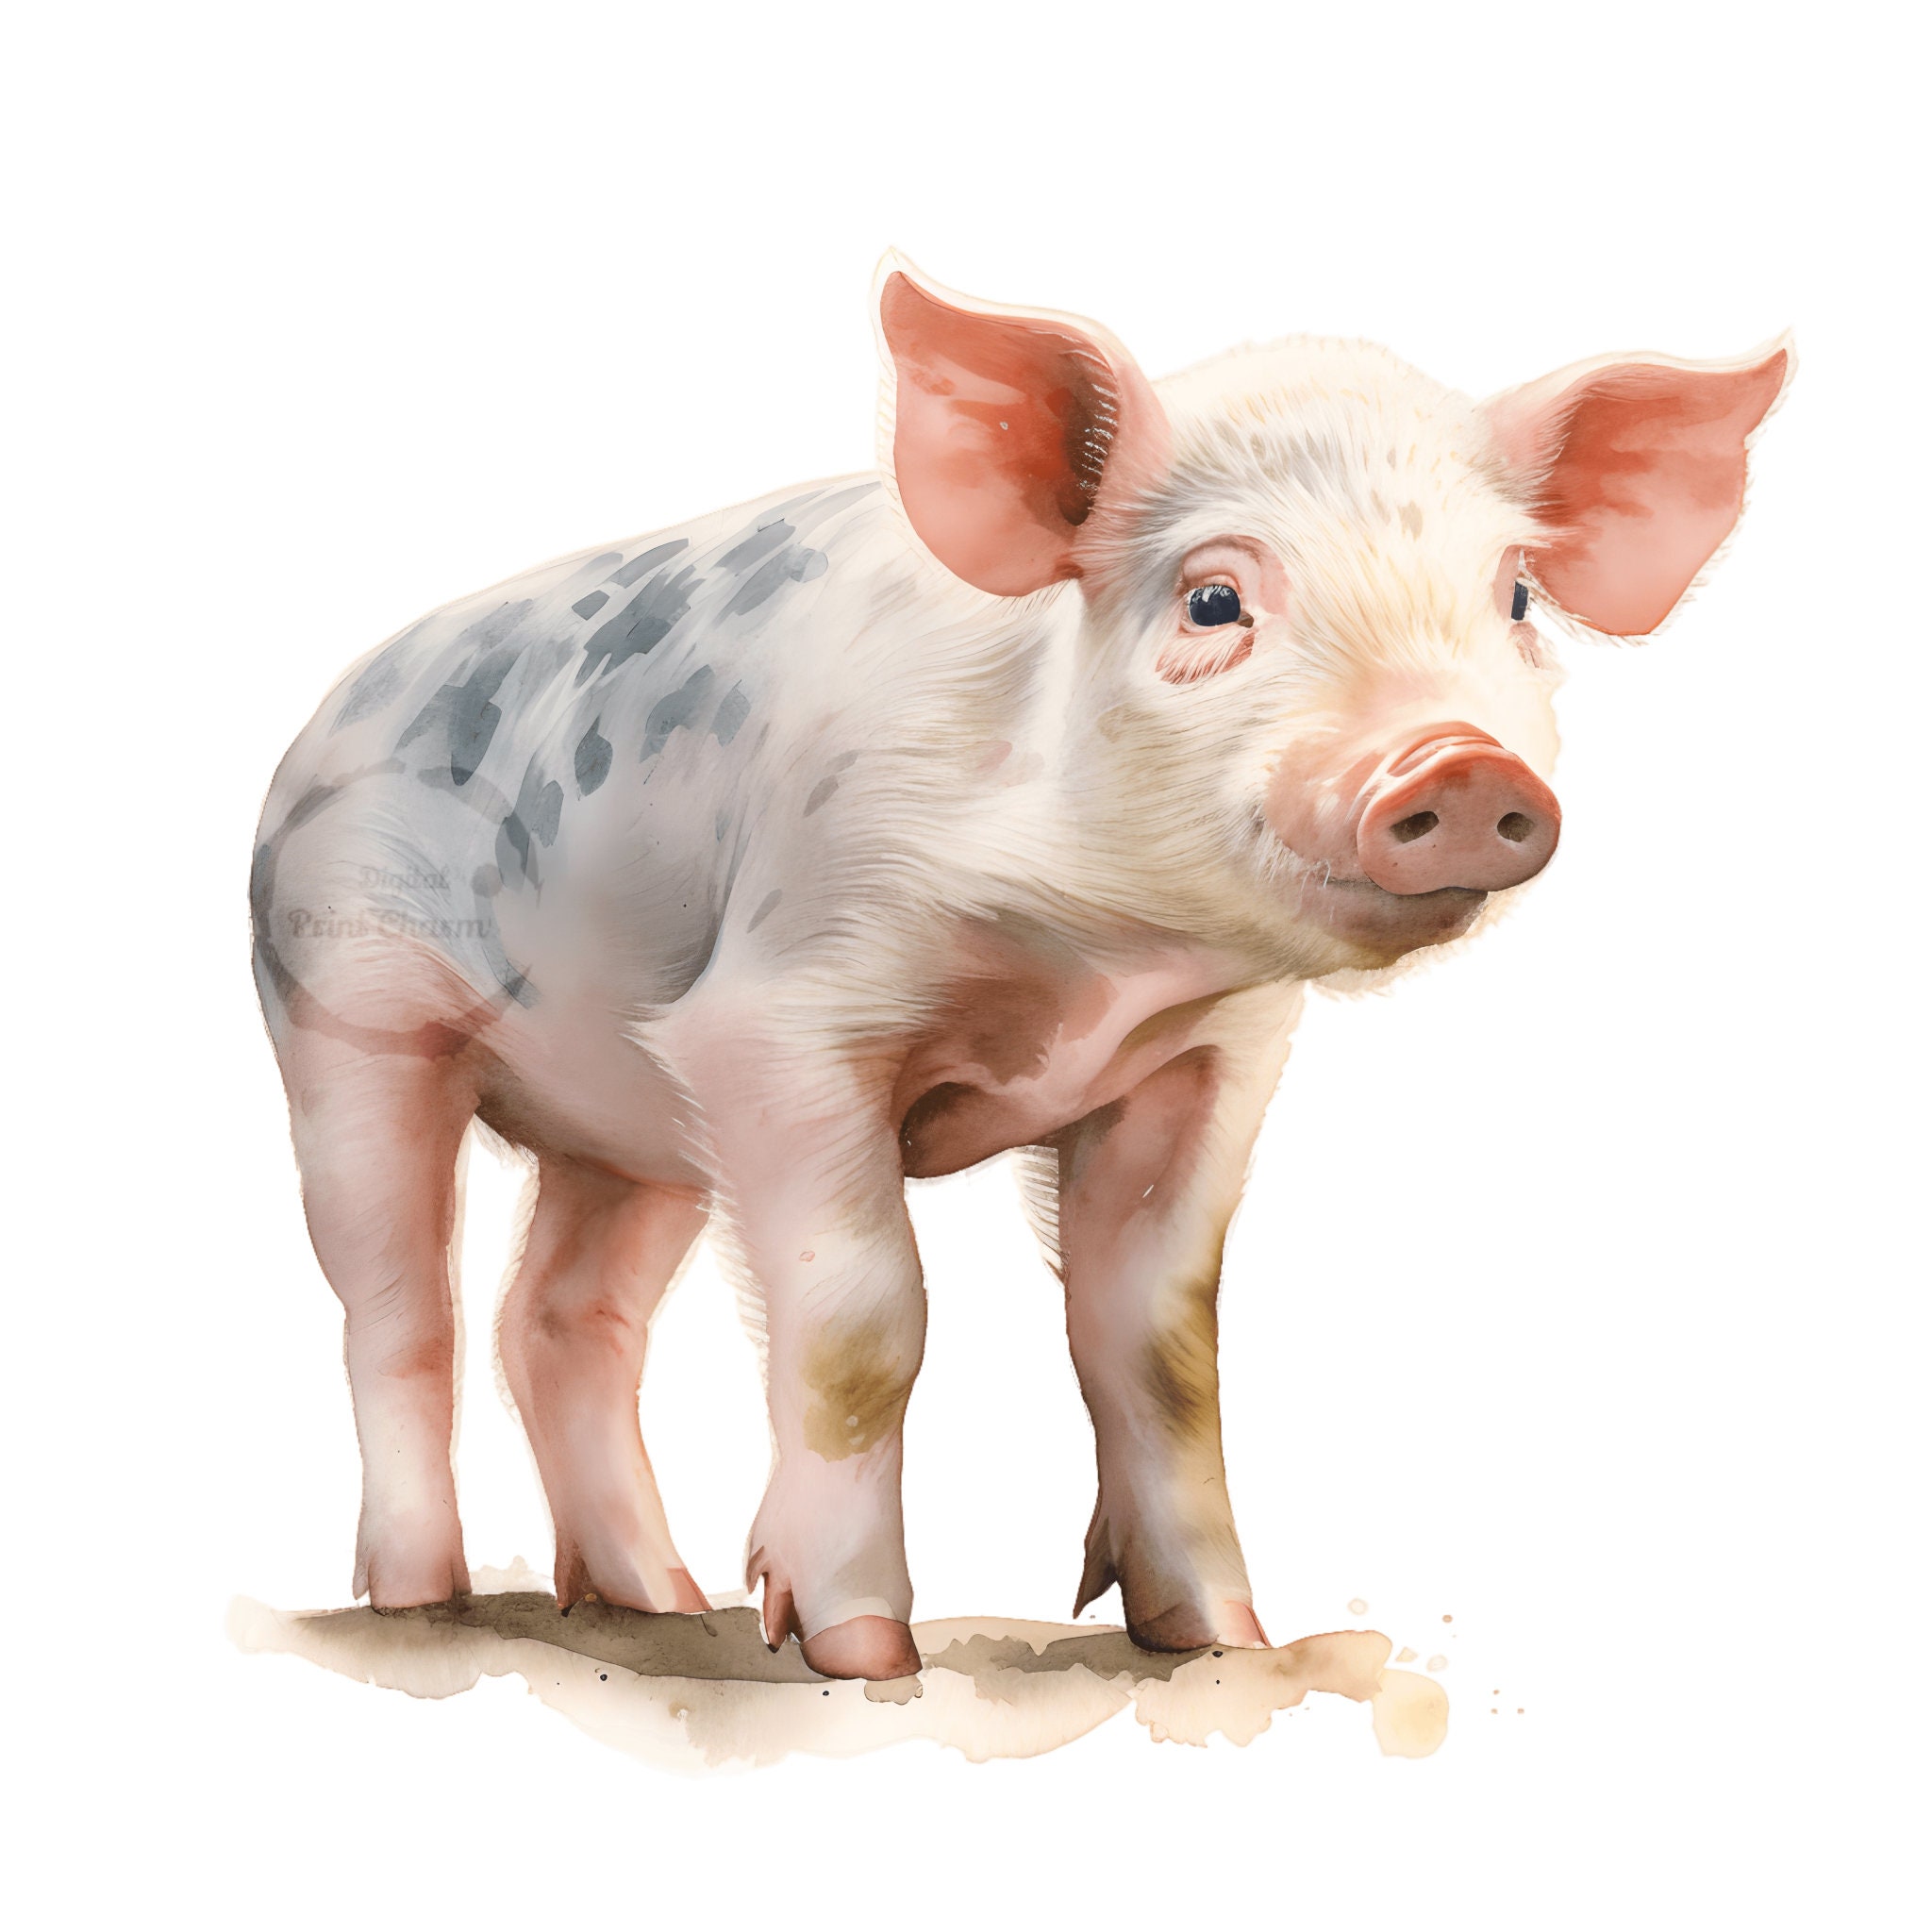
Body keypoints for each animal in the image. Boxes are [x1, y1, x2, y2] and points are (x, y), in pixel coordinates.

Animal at [251, 258, 1790, 1680]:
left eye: (1514, 594)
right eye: (1214, 597)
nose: (1461, 765)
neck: (1098, 962)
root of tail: (323, 718)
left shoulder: (1215, 1053)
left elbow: (1160, 1339)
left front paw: (1223, 1641)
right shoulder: (774, 1021)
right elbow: (867, 1320)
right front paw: (862, 1653)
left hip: (629, 1119)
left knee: (562, 1320)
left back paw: (656, 1604)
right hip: (342, 1020)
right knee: (401, 1314)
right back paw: (422, 1601)